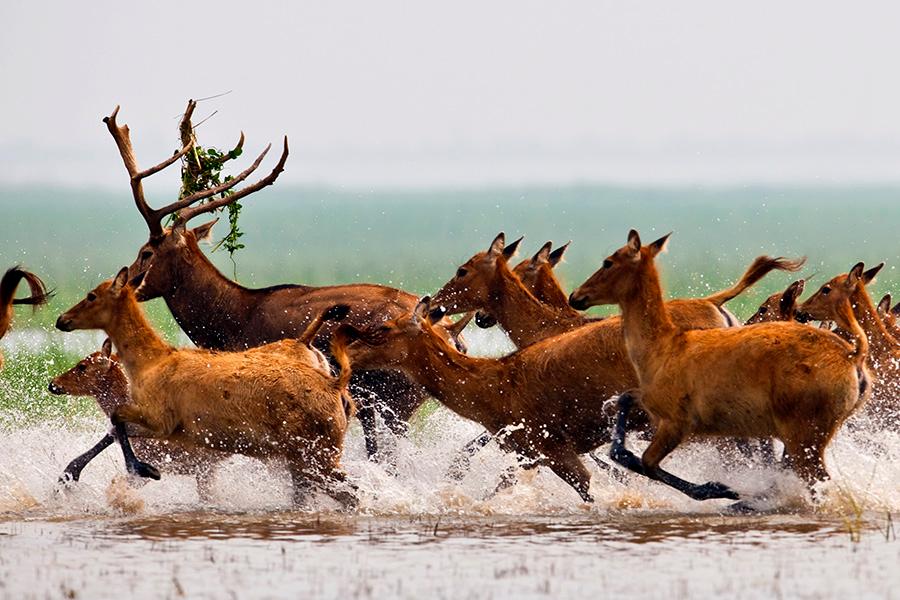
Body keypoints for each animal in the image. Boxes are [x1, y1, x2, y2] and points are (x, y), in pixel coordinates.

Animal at [56, 268, 361, 508]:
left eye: (92, 295)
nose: (62, 320)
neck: (152, 361)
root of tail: (335, 383)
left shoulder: (159, 421)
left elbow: (116, 419)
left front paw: (144, 470)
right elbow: (115, 427)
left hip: (314, 455)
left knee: (351, 493)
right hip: (307, 458)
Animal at [568, 230, 870, 503]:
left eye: (608, 262)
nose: (576, 296)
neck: (665, 345)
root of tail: (853, 355)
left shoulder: (676, 424)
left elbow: (648, 462)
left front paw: (718, 489)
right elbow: (625, 403)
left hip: (803, 438)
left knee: (816, 480)